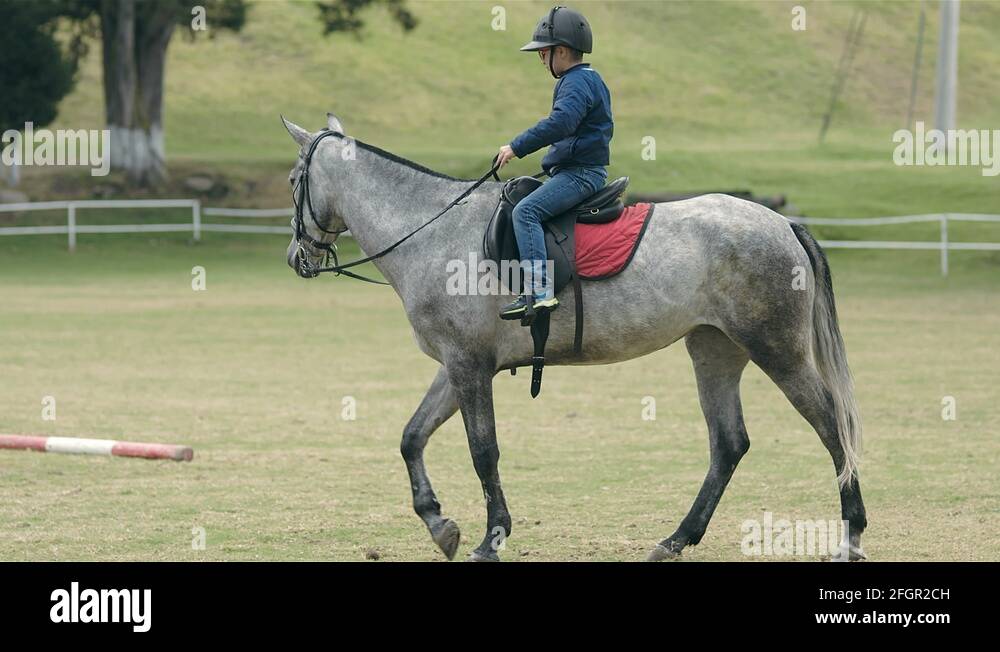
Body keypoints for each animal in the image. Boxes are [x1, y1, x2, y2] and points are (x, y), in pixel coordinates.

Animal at [281, 114, 867, 562]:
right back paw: (676, 540)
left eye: (293, 181)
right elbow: (412, 437)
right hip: (714, 350)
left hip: (777, 352)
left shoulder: (469, 367)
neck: (433, 232)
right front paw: (440, 524)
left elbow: (483, 452)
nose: (297, 258)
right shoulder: (458, 366)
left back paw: (852, 535)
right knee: (729, 443)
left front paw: (490, 540)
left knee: (831, 427)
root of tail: (782, 223)